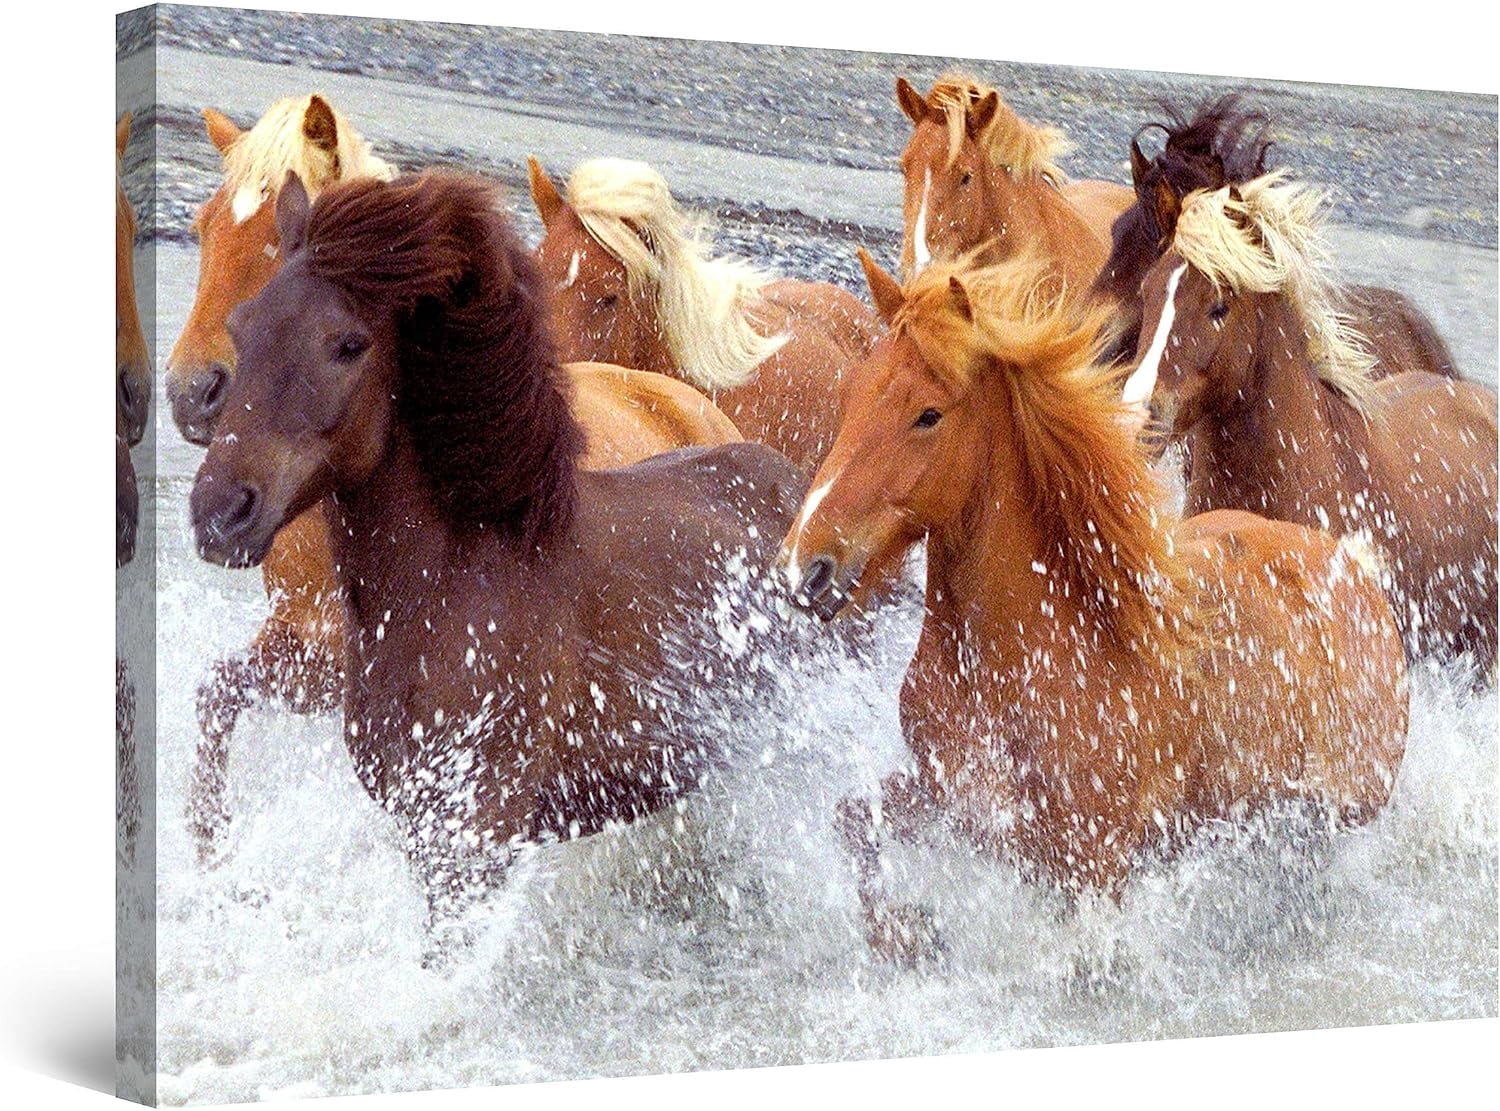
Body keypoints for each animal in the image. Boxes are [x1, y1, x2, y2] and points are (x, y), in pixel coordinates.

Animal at [781, 252, 1409, 962]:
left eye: (928, 415)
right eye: (854, 396)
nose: (806, 566)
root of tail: (1355, 569)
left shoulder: (1090, 858)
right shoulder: (954, 797)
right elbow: (854, 822)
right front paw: (909, 933)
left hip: (1331, 819)